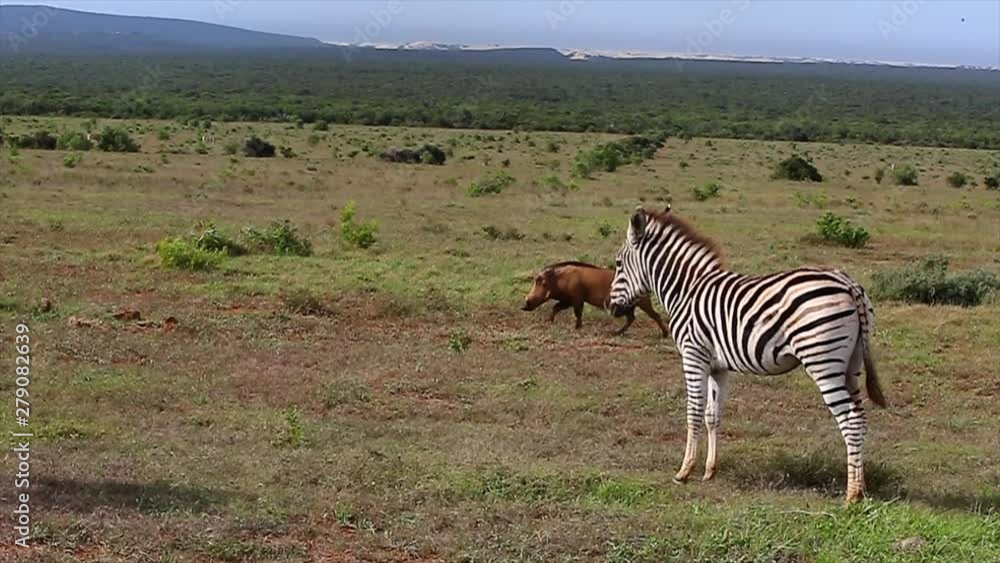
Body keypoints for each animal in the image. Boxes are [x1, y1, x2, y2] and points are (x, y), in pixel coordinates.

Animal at [608, 206, 887, 503]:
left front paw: (684, 471)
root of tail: (849, 285)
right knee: (861, 418)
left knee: (850, 420)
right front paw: (709, 471)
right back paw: (861, 487)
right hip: (851, 364)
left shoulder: (693, 356)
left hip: (823, 361)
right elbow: (712, 415)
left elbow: (693, 411)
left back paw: (852, 494)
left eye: (618, 264)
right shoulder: (717, 366)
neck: (686, 289)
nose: (611, 308)